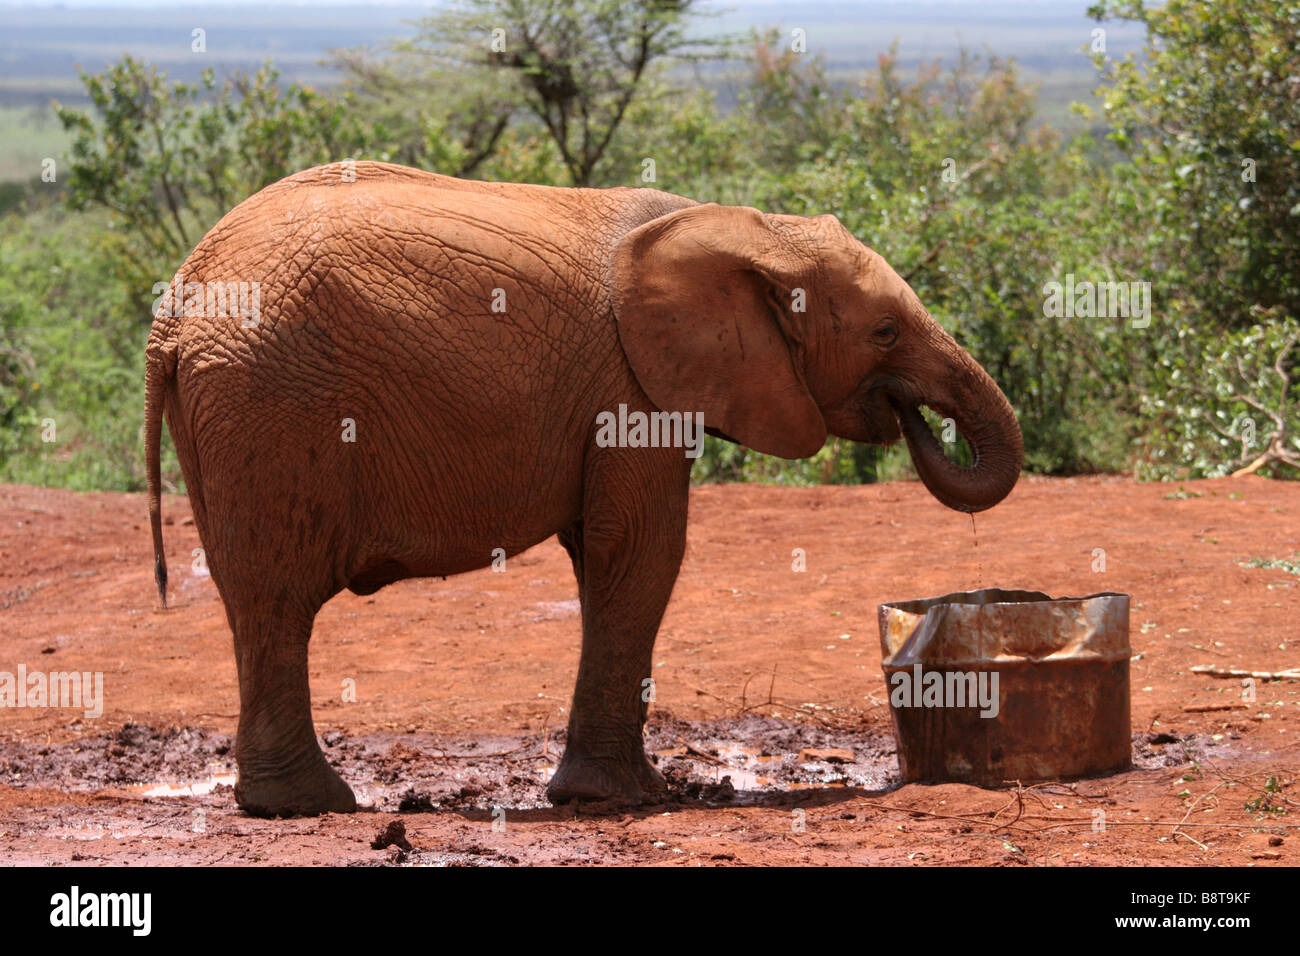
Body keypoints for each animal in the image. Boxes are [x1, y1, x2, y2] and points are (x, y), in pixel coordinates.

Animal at [144, 161, 1022, 817]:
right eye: (885, 332)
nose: (909, 414)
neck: (742, 228)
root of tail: (176, 306)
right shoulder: (632, 387)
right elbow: (639, 550)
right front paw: (625, 797)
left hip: (230, 409)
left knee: (254, 597)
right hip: (268, 402)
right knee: (279, 594)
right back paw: (313, 806)